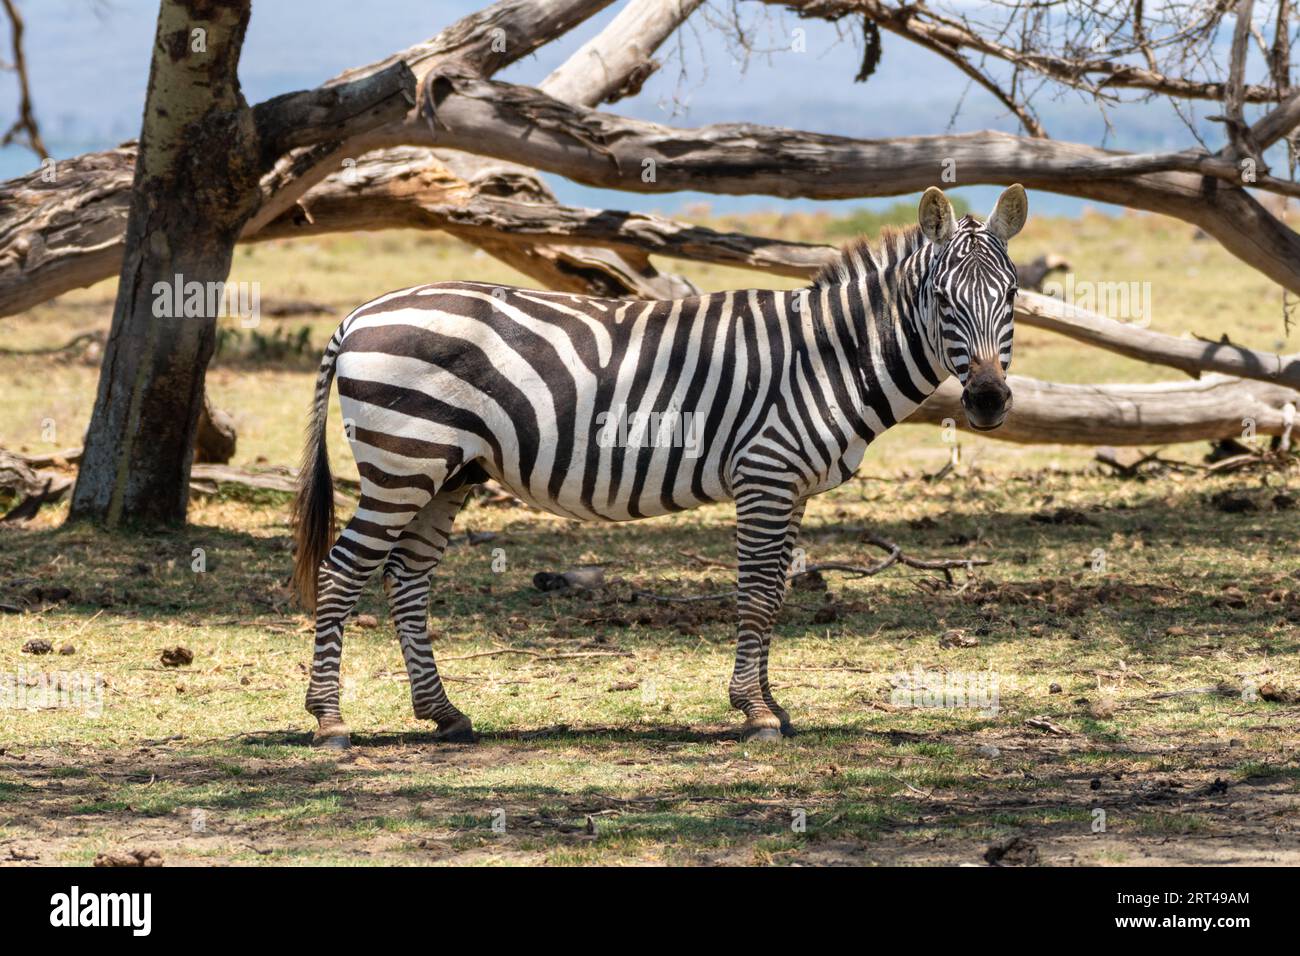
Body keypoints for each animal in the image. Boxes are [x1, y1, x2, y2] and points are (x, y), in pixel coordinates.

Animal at [291, 185, 1027, 747]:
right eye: (943, 302)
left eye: (1012, 299)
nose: (989, 401)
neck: (827, 356)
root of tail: (359, 314)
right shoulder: (765, 473)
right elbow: (756, 593)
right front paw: (755, 714)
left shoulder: (792, 488)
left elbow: (777, 592)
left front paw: (772, 706)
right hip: (404, 459)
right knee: (343, 570)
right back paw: (330, 721)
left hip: (449, 472)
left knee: (407, 577)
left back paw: (444, 715)